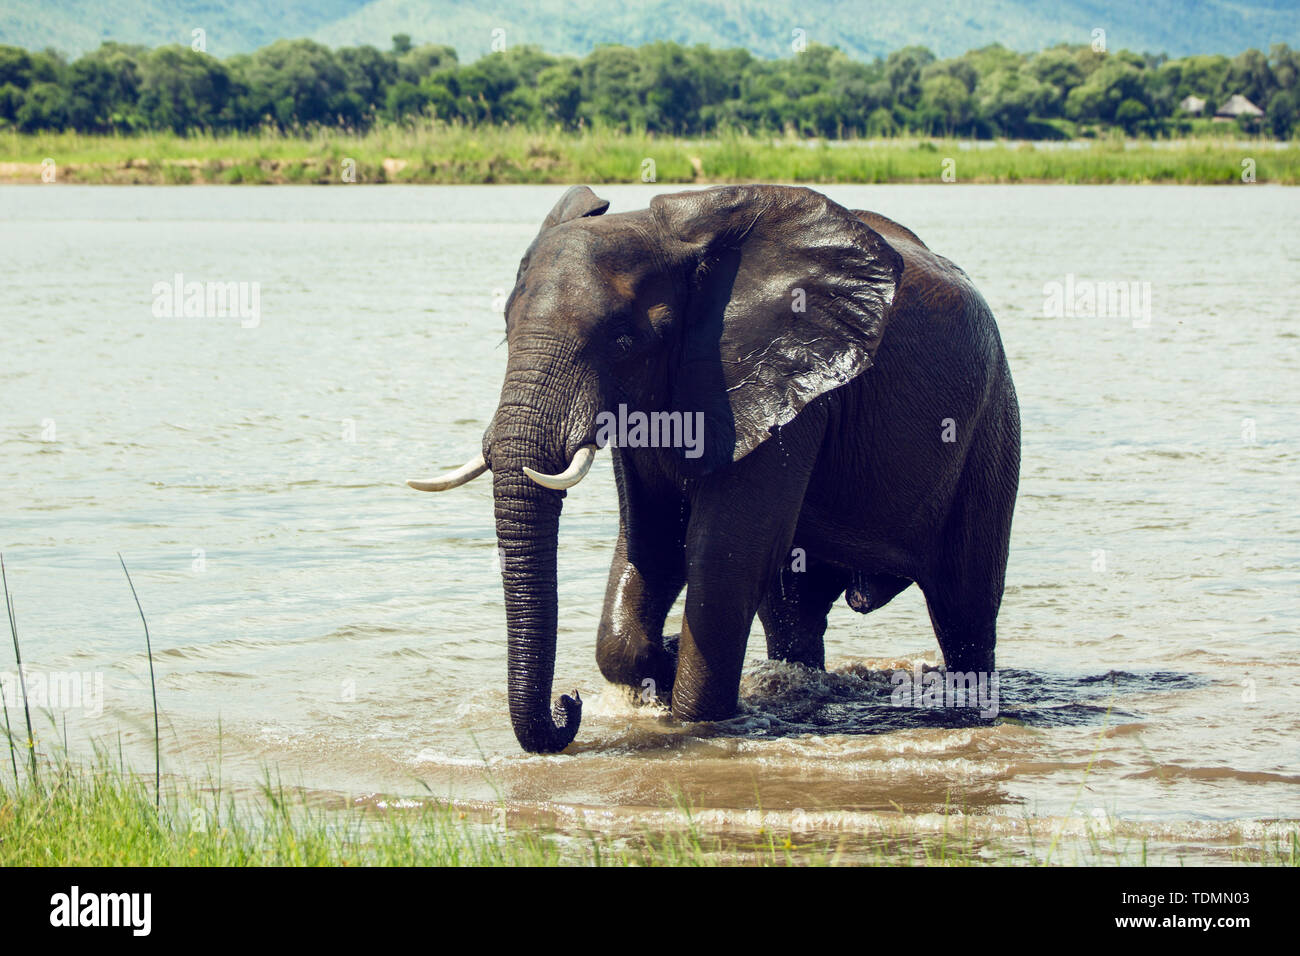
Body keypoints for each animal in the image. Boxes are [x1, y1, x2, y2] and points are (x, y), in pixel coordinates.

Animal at [408, 184, 1020, 754]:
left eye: (624, 341)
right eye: (505, 330)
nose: (568, 701)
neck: (671, 235)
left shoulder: (783, 385)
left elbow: (722, 556)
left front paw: (693, 721)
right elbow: (652, 543)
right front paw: (660, 663)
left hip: (989, 425)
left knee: (965, 601)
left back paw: (968, 706)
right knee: (794, 610)